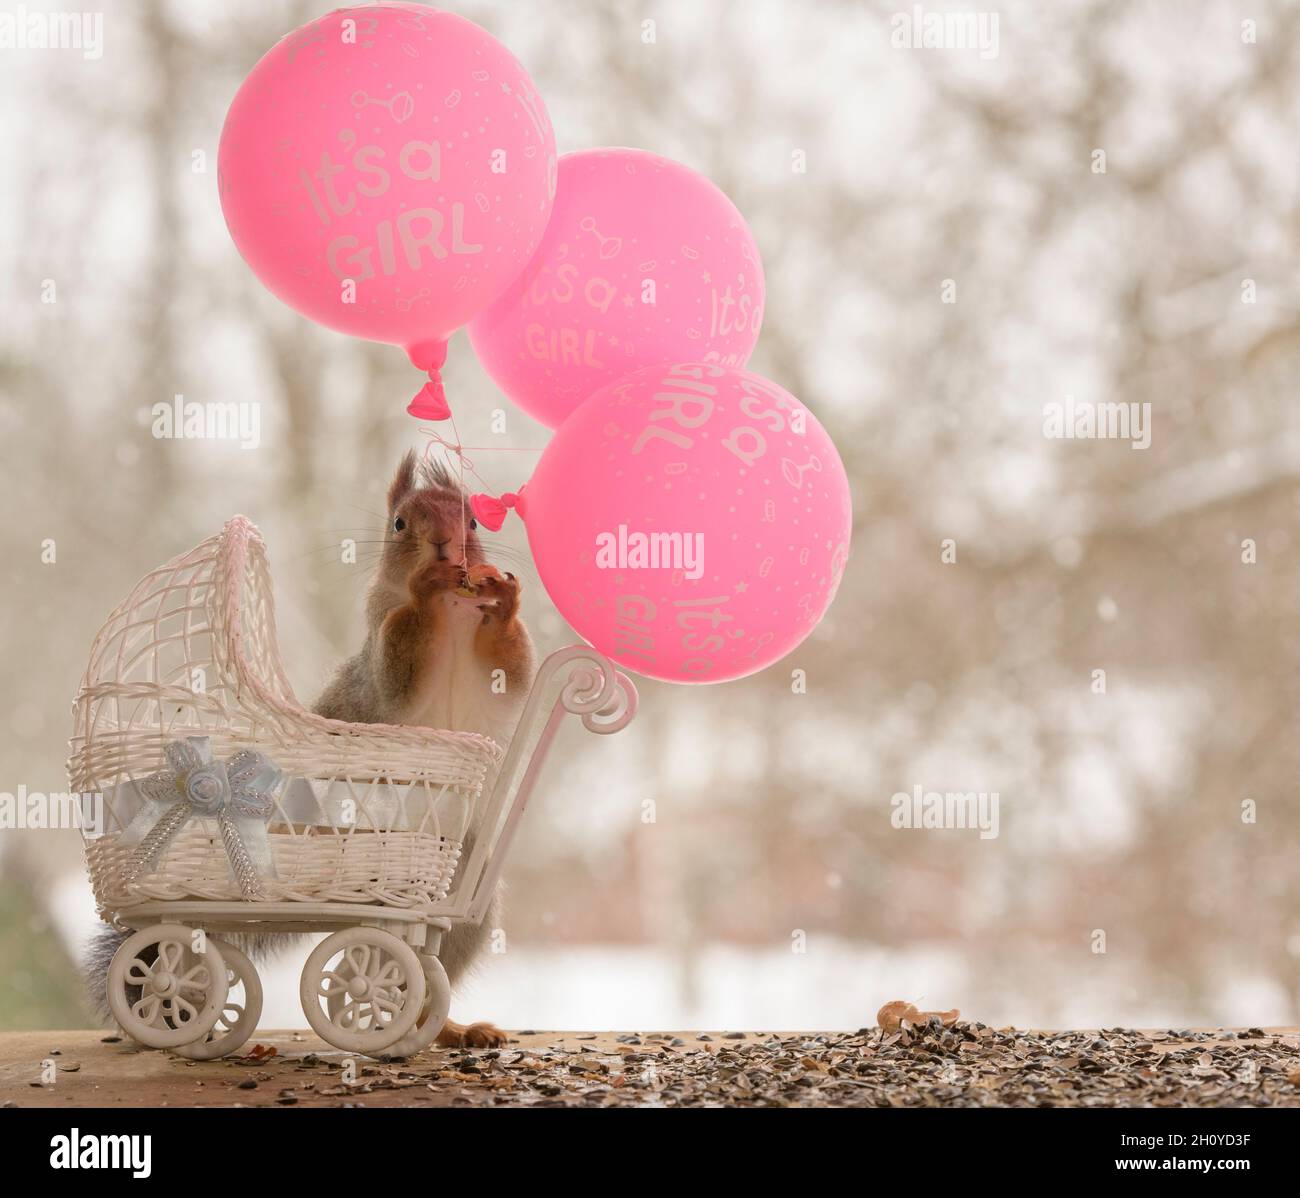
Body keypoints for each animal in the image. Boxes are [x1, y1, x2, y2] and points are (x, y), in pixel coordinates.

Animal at [84, 453, 535, 1050]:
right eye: (399, 524)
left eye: (475, 523)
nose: (443, 544)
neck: (455, 612)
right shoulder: (381, 652)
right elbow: (400, 666)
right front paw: (423, 584)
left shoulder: (493, 669)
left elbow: (515, 664)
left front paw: (507, 601)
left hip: (459, 914)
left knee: (406, 969)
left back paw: (451, 1029)